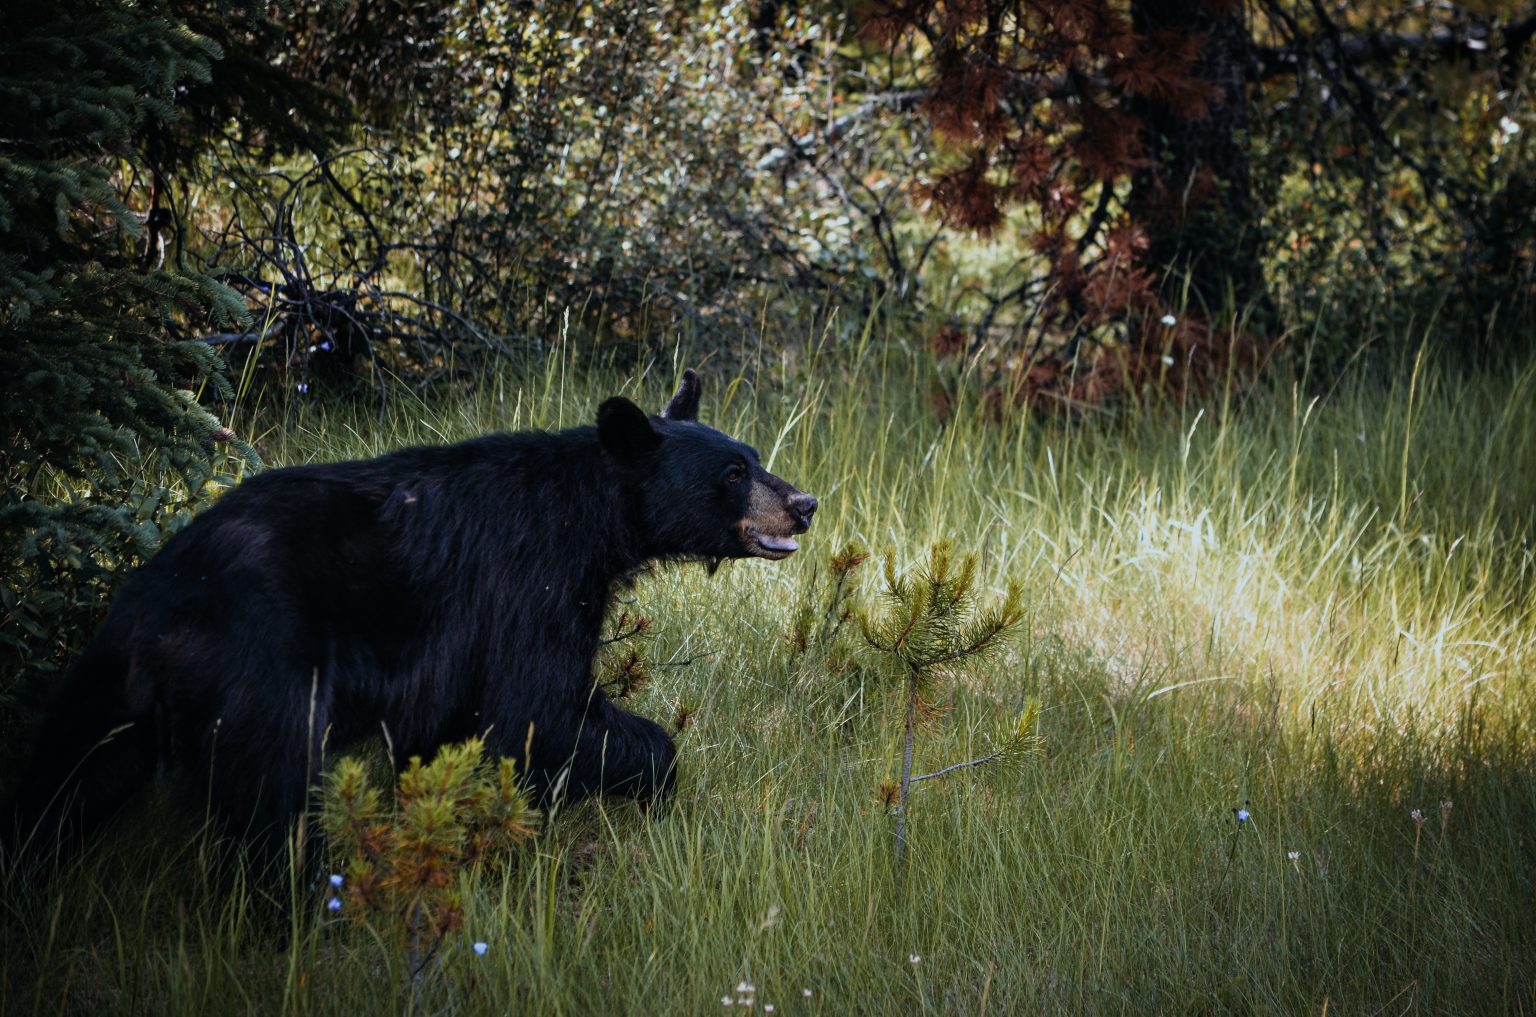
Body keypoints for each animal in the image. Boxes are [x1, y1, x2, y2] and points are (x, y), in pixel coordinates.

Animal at [4, 369, 815, 863]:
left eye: (752, 455)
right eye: (734, 473)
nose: (804, 503)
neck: (594, 515)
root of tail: (157, 597)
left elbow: (453, 728)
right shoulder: (530, 580)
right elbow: (536, 707)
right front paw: (655, 769)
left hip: (114, 685)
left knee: (71, 771)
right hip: (262, 666)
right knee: (272, 796)